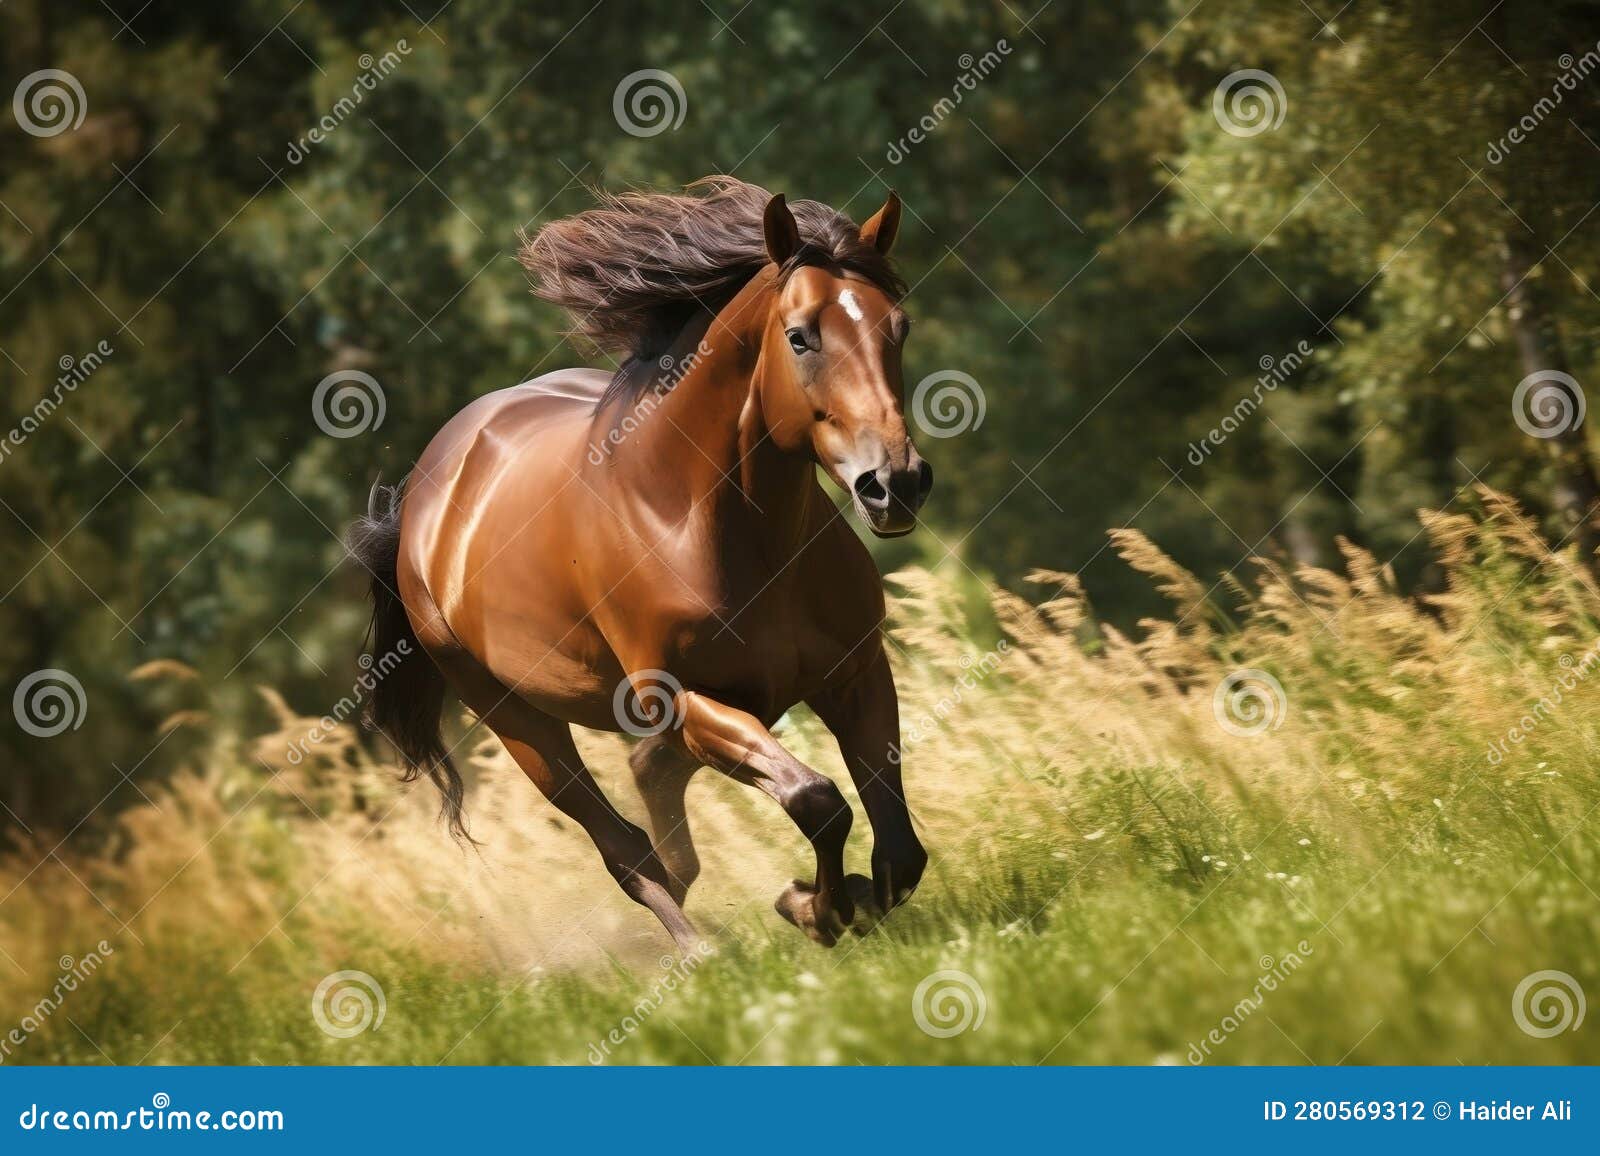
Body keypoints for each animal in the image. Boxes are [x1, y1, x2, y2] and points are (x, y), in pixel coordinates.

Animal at [347, 177, 932, 950]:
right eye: (800, 335)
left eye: (898, 328)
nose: (895, 483)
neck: (700, 521)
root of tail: (421, 495)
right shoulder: (683, 705)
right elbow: (817, 799)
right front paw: (812, 908)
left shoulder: (856, 673)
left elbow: (899, 845)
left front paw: (844, 898)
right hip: (518, 721)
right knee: (622, 846)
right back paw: (694, 952)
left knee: (651, 787)